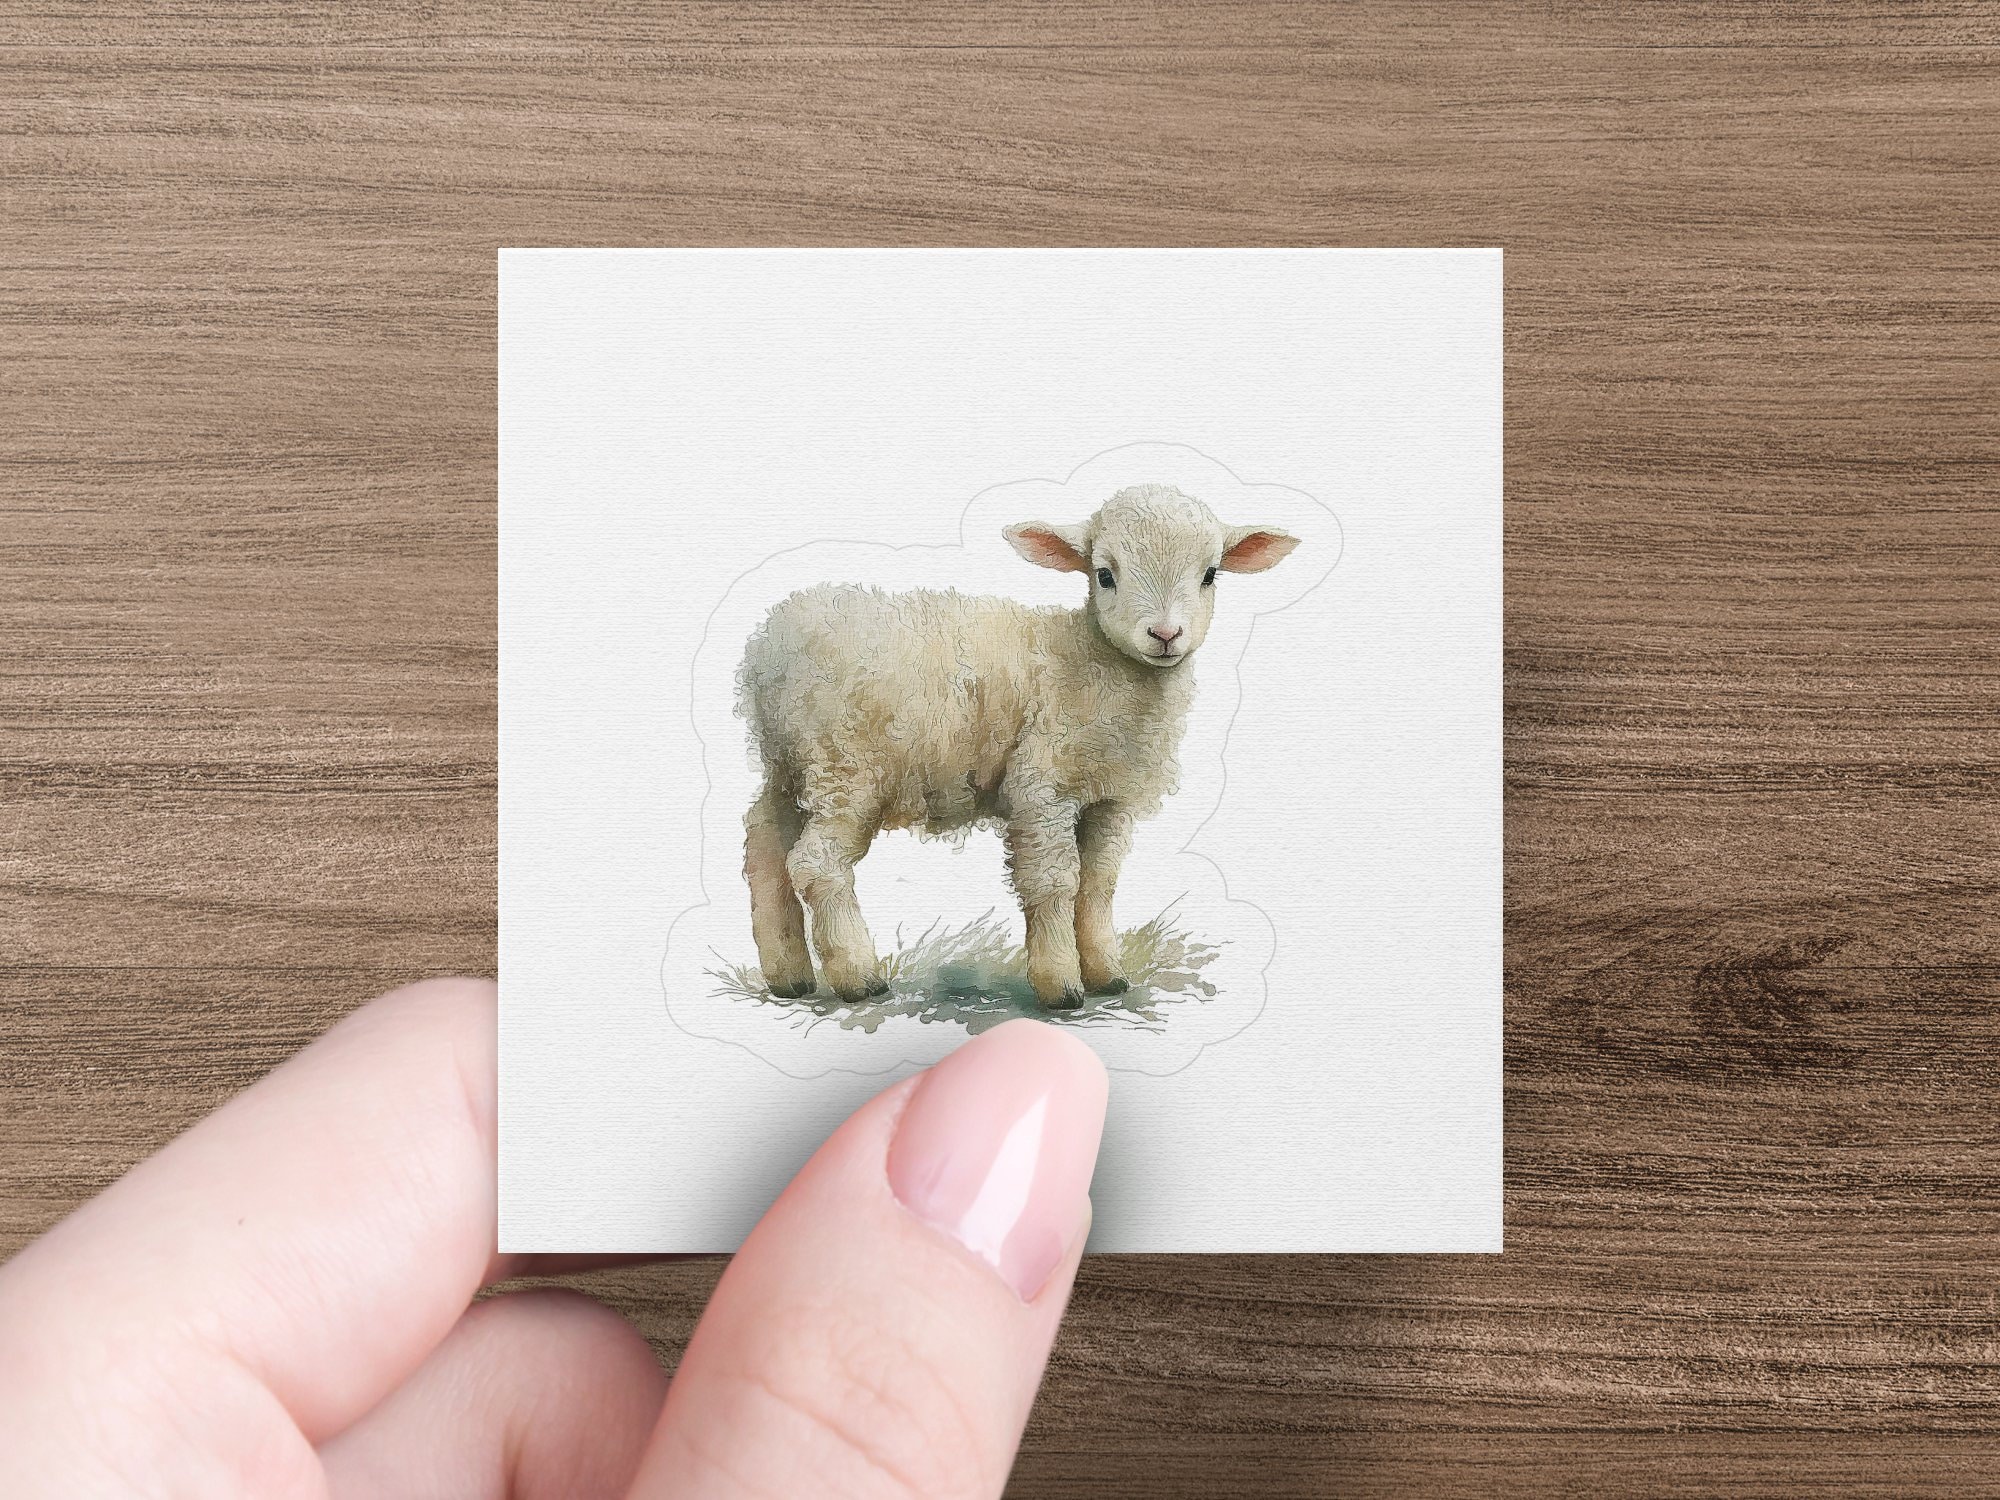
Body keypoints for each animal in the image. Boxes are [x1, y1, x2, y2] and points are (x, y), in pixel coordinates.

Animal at [738, 483, 1299, 1008]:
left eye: (1210, 574)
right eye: (1105, 574)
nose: (1164, 634)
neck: (1092, 661)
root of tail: (773, 646)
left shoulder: (1110, 798)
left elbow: (1098, 884)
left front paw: (1106, 974)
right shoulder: (1042, 786)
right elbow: (1054, 882)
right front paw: (1061, 985)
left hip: (793, 762)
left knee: (764, 841)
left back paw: (789, 974)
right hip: (847, 765)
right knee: (816, 863)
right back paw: (858, 975)